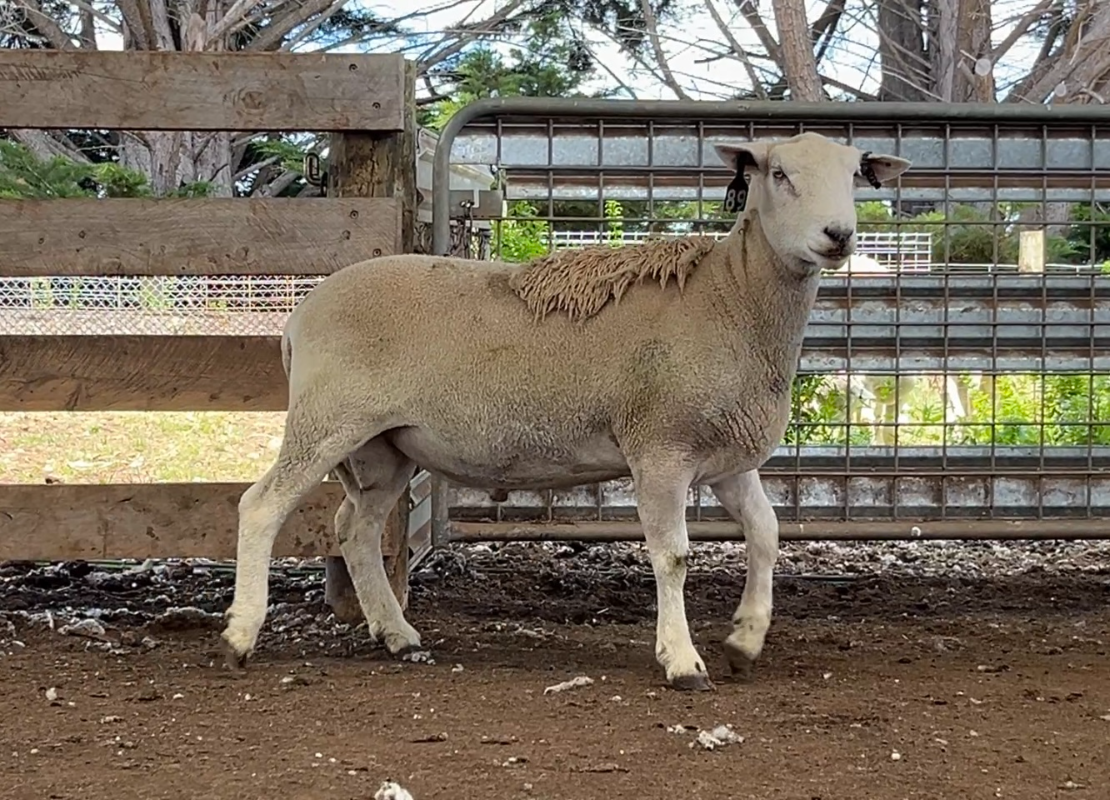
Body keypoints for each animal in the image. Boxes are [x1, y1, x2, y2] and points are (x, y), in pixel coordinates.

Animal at [220, 131, 911, 691]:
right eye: (779, 173)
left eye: (855, 174)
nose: (839, 236)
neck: (729, 300)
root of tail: (300, 314)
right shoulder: (660, 447)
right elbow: (673, 555)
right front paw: (682, 660)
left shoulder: (724, 456)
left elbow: (767, 534)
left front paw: (745, 638)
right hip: (327, 419)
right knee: (262, 506)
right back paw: (240, 636)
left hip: (386, 445)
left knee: (355, 528)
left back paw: (398, 635)